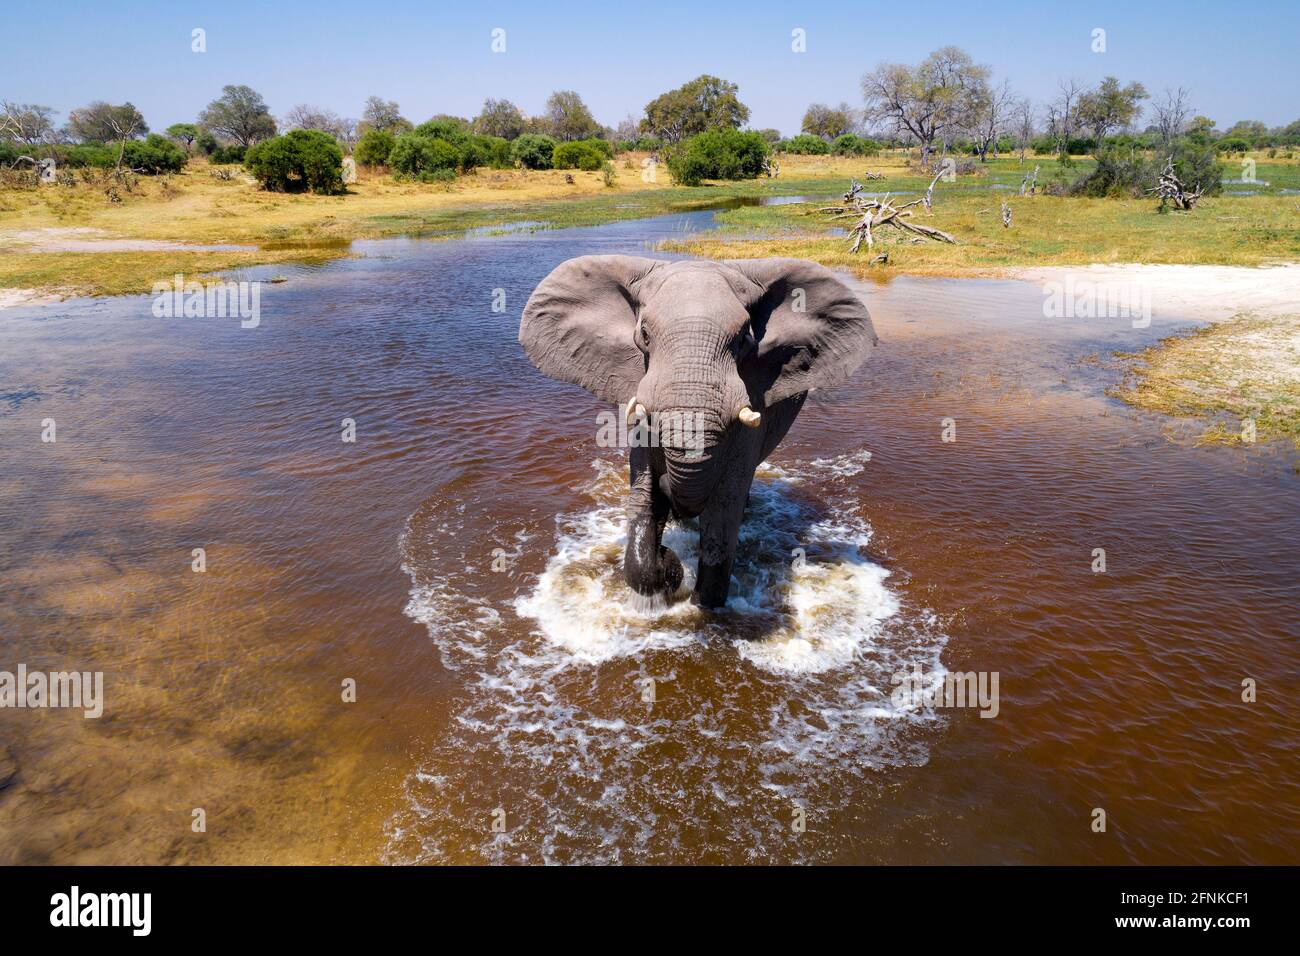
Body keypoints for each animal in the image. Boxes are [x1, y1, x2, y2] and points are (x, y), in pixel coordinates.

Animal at [520, 255, 877, 608]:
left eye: (744, 339)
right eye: (644, 335)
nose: (668, 557)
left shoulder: (753, 395)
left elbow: (724, 508)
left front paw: (702, 604)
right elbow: (643, 491)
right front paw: (663, 570)